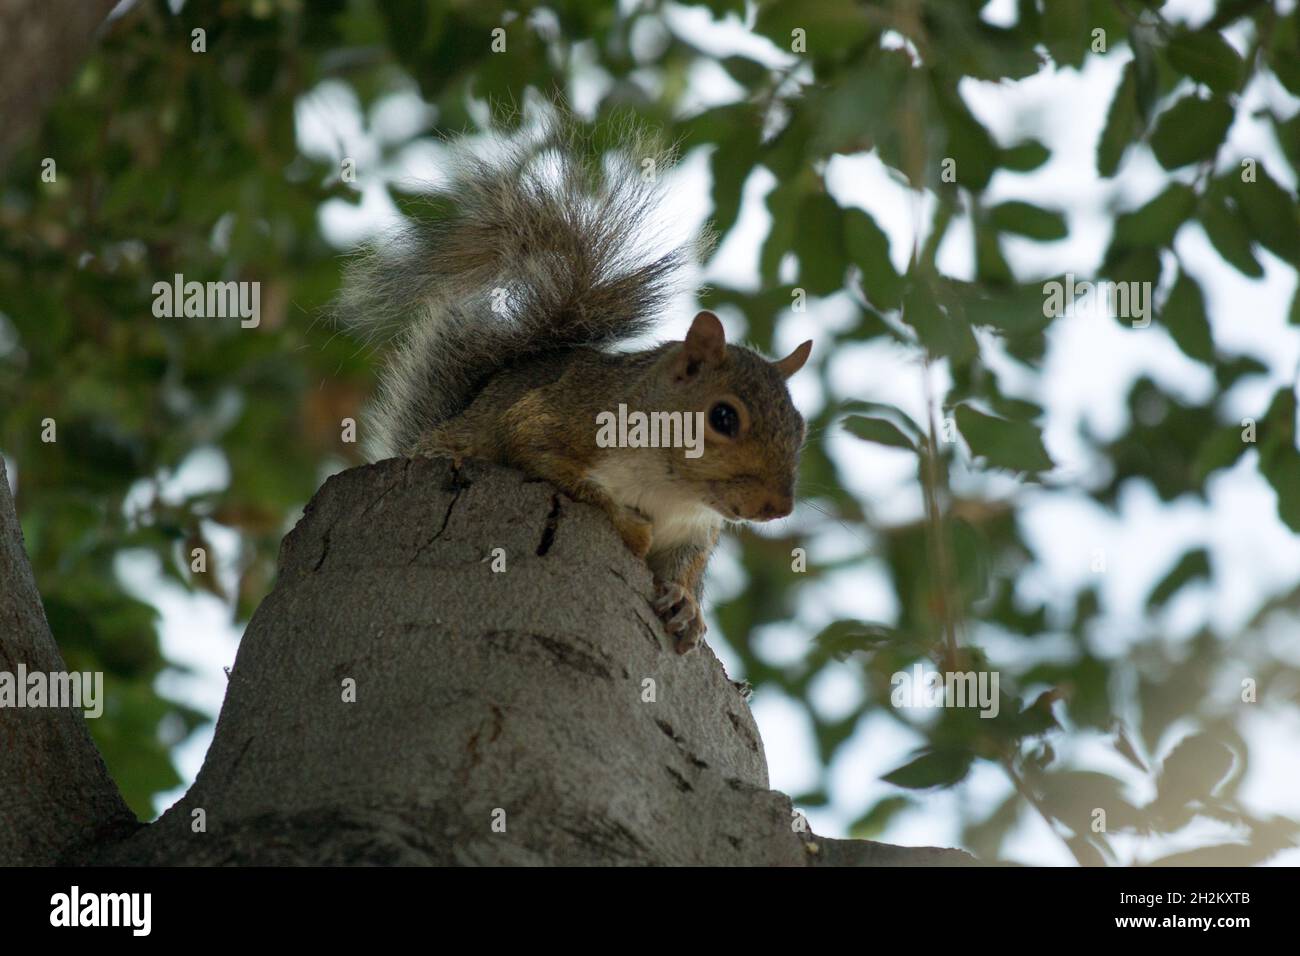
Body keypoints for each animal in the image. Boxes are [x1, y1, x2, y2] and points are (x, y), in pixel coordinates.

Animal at [336, 118, 812, 653]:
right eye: (723, 417)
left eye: (801, 427)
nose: (777, 508)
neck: (671, 487)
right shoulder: (560, 420)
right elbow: (551, 462)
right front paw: (631, 527)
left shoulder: (697, 526)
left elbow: (685, 566)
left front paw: (688, 607)